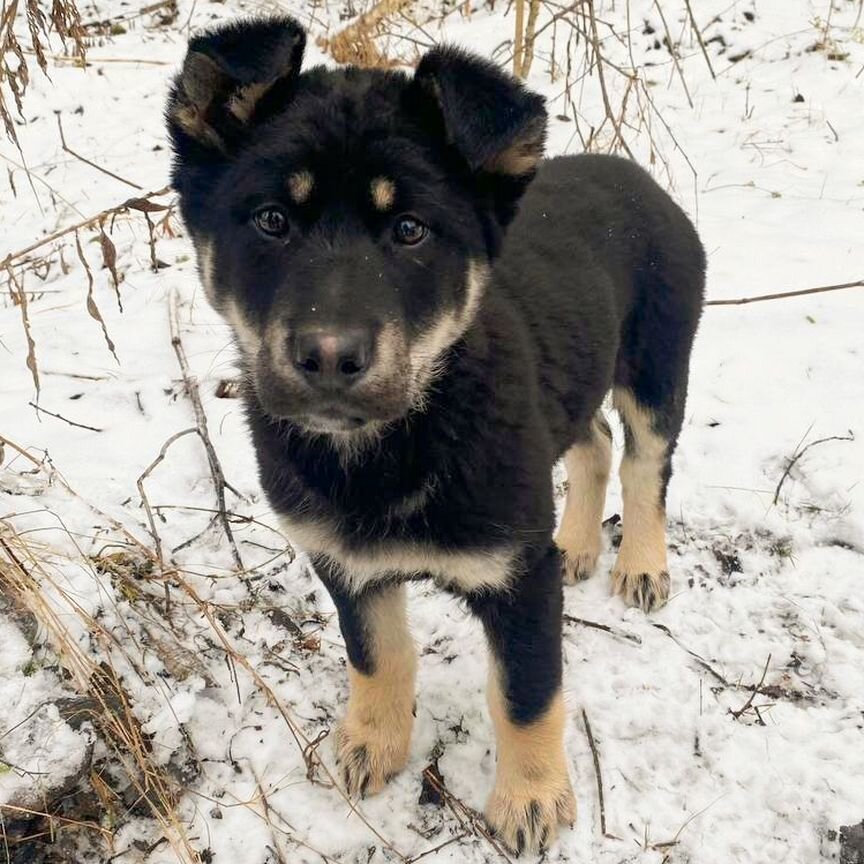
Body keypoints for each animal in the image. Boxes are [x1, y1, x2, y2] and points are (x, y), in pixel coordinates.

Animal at [165, 16, 704, 852]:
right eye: (271, 220)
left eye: (411, 231)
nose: (329, 356)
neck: (398, 439)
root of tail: (637, 175)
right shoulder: (345, 561)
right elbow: (377, 655)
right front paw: (373, 742)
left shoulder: (519, 575)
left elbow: (526, 692)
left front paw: (531, 798)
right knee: (594, 442)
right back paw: (580, 543)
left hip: (656, 366)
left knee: (646, 466)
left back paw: (642, 564)